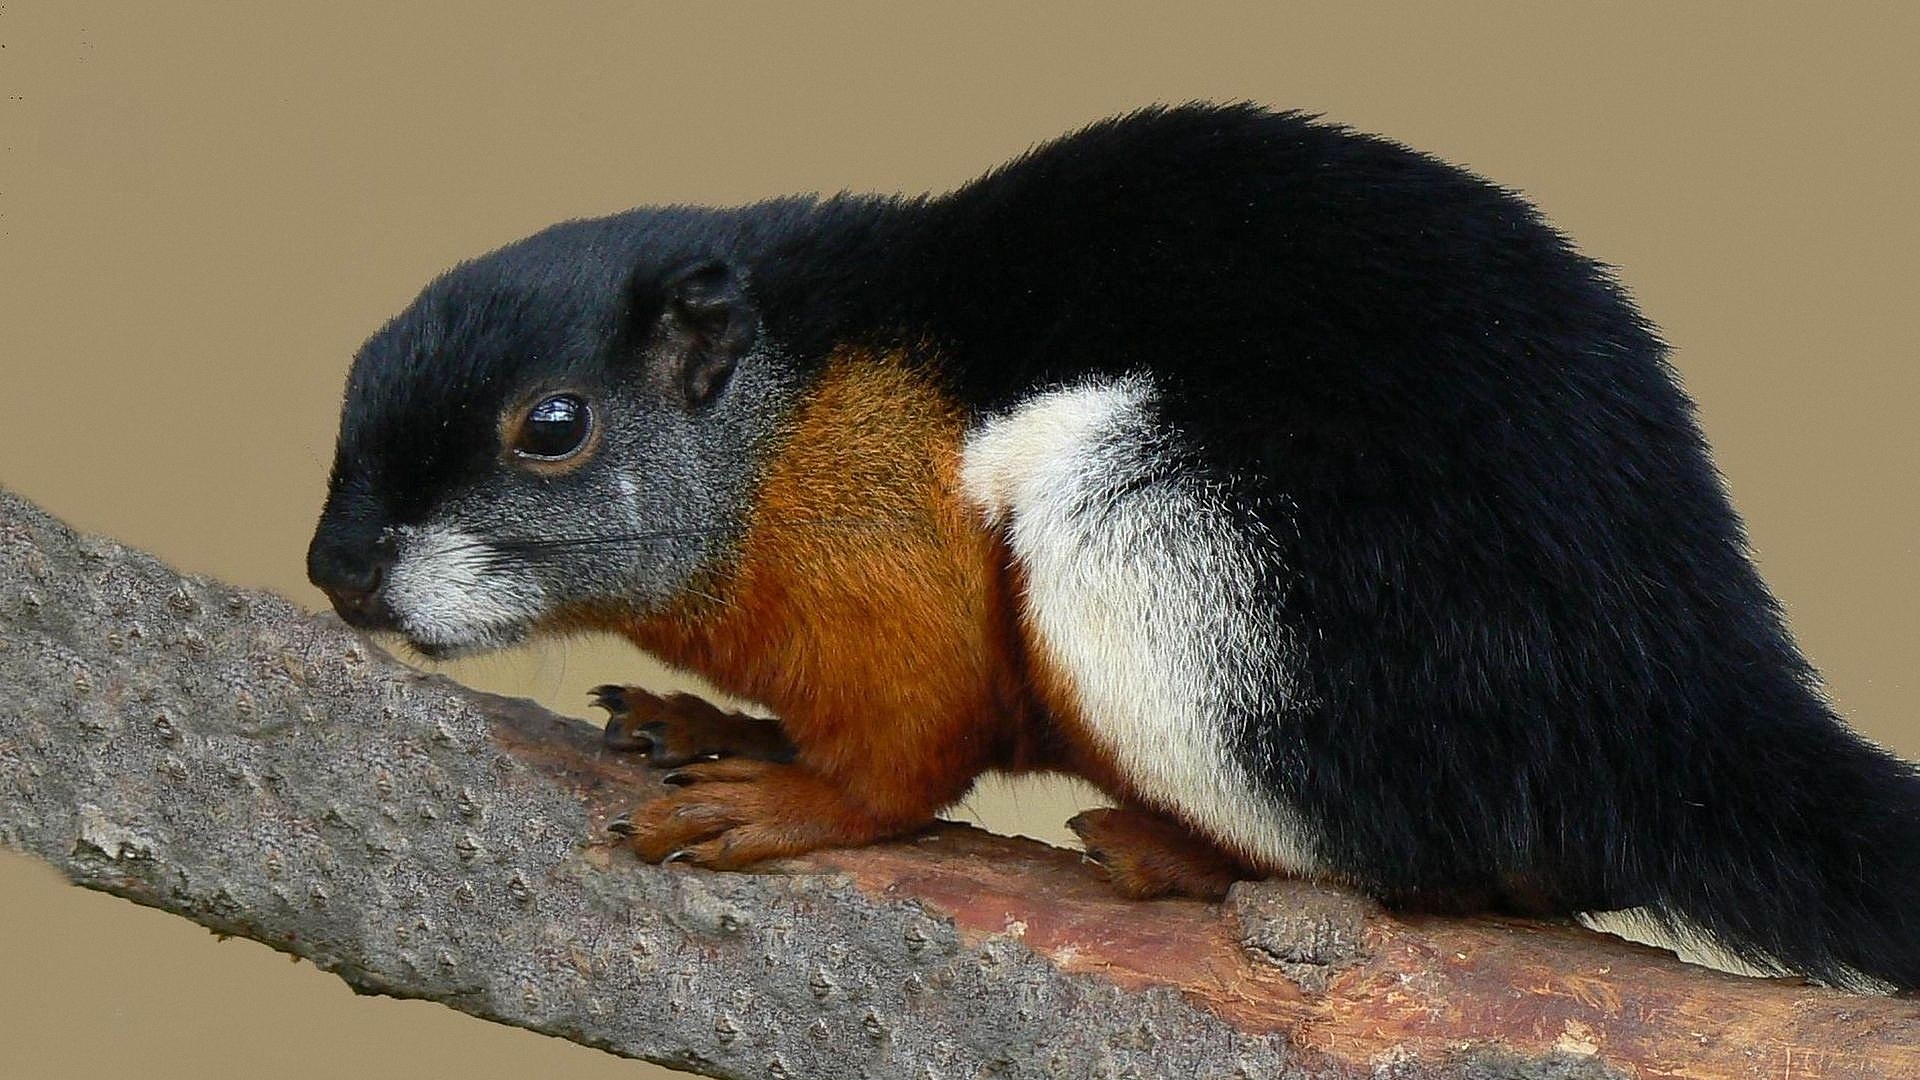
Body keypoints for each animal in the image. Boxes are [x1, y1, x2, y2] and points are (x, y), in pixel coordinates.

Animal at [308, 103, 1920, 992]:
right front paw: (708, 718)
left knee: (1463, 865)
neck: (792, 414)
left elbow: (909, 753)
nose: (337, 569)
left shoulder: (893, 571)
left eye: (554, 425)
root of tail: (1676, 702)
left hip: (1160, 535)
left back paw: (1174, 850)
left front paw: (788, 800)